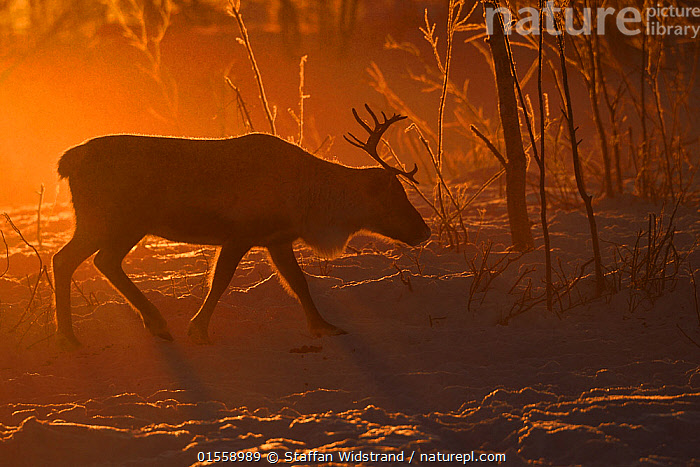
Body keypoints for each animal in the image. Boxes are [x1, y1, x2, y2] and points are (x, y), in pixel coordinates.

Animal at [52, 105, 431, 348]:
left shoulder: (277, 239)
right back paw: (72, 338)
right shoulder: (240, 234)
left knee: (100, 261)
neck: (309, 199)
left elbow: (299, 282)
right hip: (110, 220)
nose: (425, 231)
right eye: (393, 198)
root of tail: (67, 161)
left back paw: (147, 325)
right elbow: (220, 280)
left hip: (120, 224)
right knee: (70, 259)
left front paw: (324, 326)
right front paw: (199, 330)